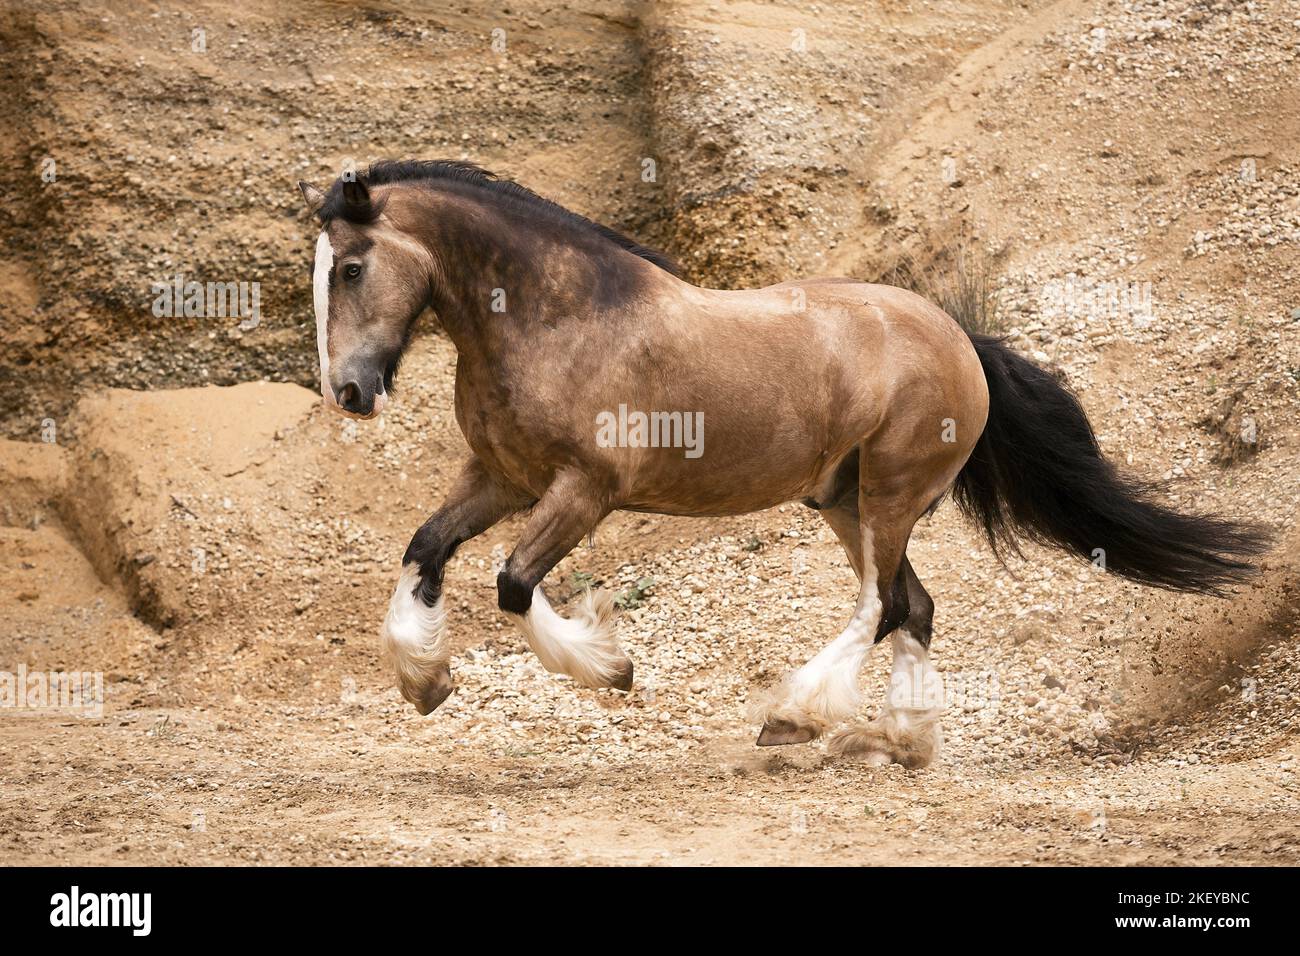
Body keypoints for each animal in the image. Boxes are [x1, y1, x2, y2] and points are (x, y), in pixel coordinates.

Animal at [298, 160, 1266, 768]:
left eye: (351, 268)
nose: (348, 391)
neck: (557, 317)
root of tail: (960, 340)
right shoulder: (500, 477)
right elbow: (425, 549)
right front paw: (425, 682)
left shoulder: (584, 491)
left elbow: (512, 582)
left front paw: (610, 669)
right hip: (843, 500)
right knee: (914, 606)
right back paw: (898, 743)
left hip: (889, 494)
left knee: (881, 604)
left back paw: (794, 717)